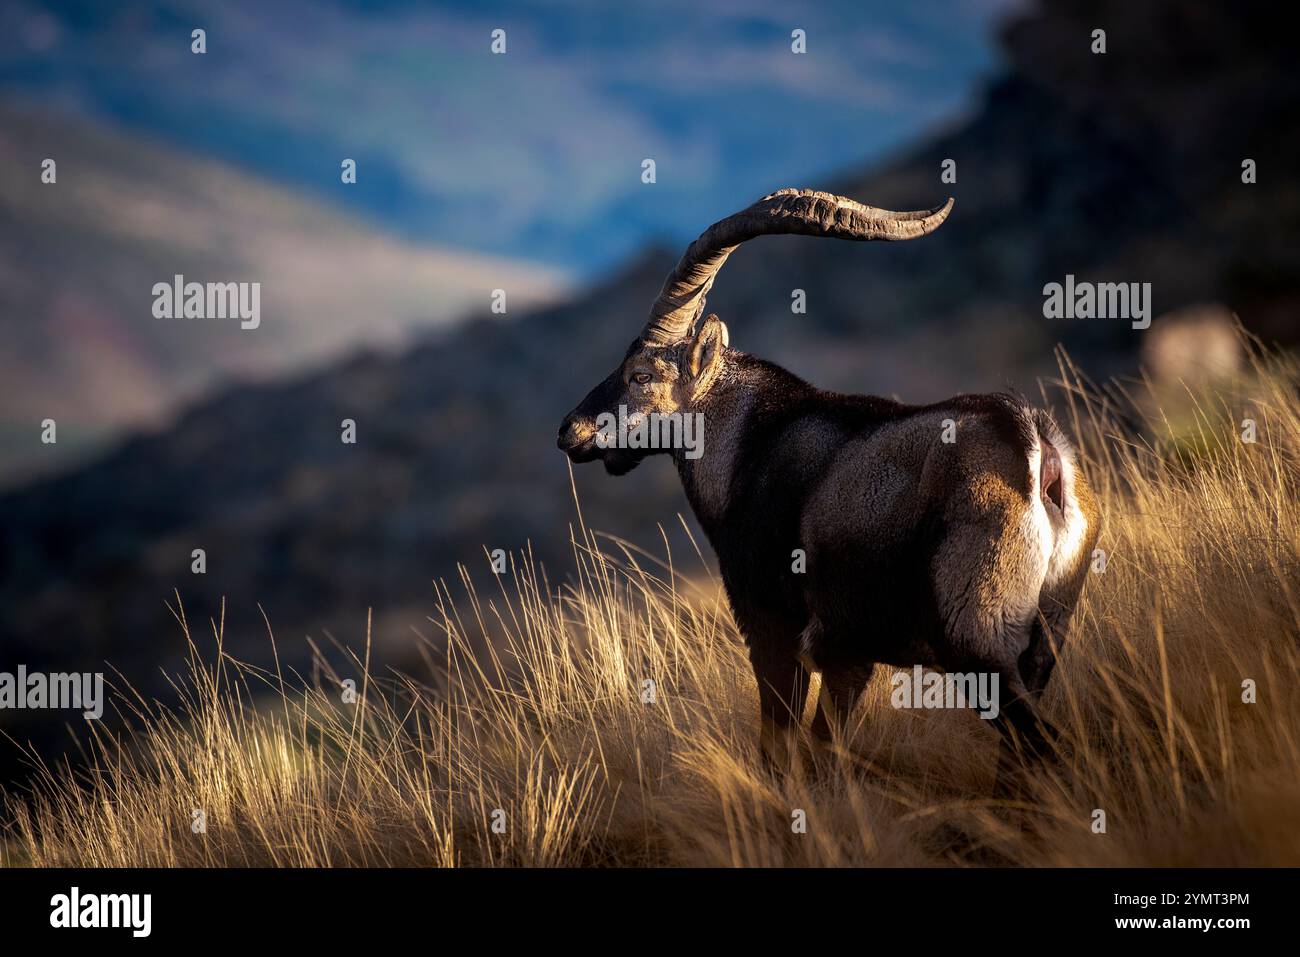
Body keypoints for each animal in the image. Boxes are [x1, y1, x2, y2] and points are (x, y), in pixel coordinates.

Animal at [557, 189, 1100, 778]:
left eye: (641, 374)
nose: (570, 431)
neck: (745, 442)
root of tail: (1038, 454)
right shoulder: (848, 656)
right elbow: (827, 746)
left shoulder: (773, 631)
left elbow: (780, 746)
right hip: (1044, 638)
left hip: (977, 637)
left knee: (1039, 740)